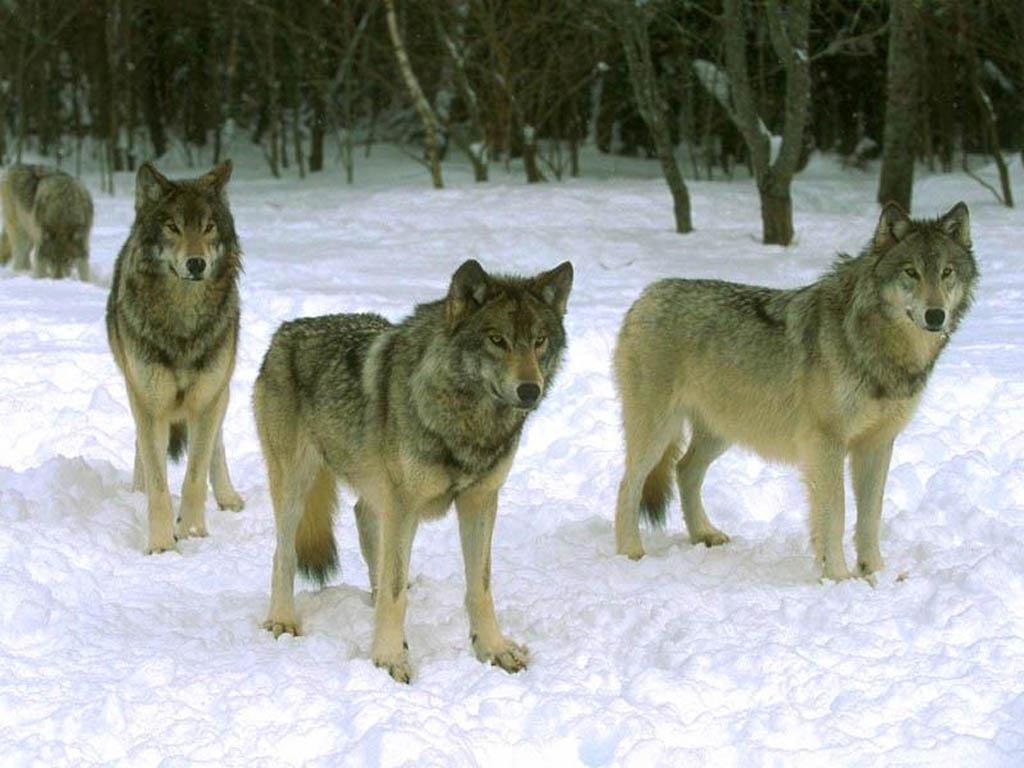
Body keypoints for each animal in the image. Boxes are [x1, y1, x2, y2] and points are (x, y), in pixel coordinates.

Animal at [106, 160, 245, 554]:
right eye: (173, 227)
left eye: (208, 227)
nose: (196, 263)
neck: (183, 321)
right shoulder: (149, 402)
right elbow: (159, 483)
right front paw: (162, 545)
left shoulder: (207, 398)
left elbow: (195, 475)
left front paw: (195, 532)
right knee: (142, 448)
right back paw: (136, 489)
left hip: (220, 389)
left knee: (217, 445)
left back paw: (228, 497)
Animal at [254, 259, 573, 682]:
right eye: (497, 340)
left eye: (539, 341)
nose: (529, 390)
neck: (466, 420)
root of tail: (285, 330)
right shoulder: (405, 506)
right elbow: (395, 596)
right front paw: (389, 658)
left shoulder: (479, 501)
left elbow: (480, 588)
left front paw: (494, 649)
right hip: (297, 486)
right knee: (283, 553)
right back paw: (282, 619)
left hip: (375, 492)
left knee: (366, 526)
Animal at [614, 202, 977, 581]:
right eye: (911, 272)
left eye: (947, 272)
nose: (935, 315)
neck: (877, 345)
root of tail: (646, 294)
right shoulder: (825, 443)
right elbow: (836, 514)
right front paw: (838, 577)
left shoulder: (877, 444)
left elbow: (870, 517)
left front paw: (875, 572)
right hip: (658, 432)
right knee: (628, 484)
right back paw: (631, 552)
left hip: (721, 432)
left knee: (684, 470)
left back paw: (704, 534)